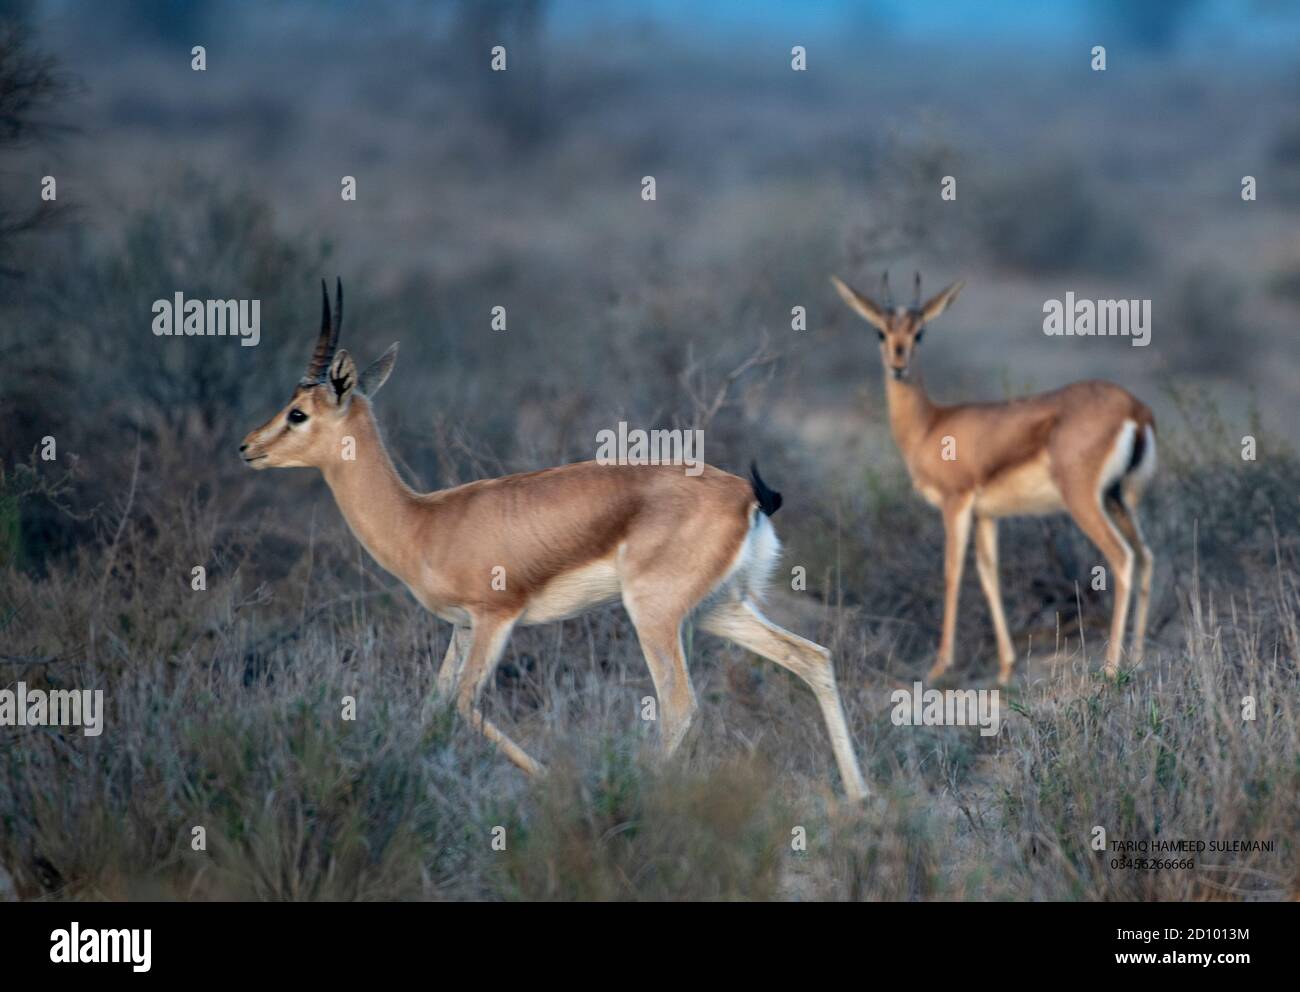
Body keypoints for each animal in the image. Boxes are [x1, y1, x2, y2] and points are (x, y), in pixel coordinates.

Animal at [240, 280, 868, 799]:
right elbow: (433, 706)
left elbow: (465, 703)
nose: (248, 446)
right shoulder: (460, 629)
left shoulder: (495, 619)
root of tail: (748, 495)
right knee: (811, 657)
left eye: (297, 413)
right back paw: (859, 798)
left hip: (655, 614)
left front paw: (545, 780)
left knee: (680, 707)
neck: (424, 522)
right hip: (720, 609)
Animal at [831, 272, 1156, 684]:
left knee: (1122, 557)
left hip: (1084, 500)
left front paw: (939, 667)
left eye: (920, 332)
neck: (930, 425)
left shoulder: (955, 503)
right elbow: (989, 575)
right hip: (1118, 498)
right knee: (1145, 557)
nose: (898, 365)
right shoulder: (987, 515)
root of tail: (1135, 409)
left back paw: (1112, 667)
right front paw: (1005, 668)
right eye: (880, 331)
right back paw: (1138, 659)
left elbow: (952, 572)